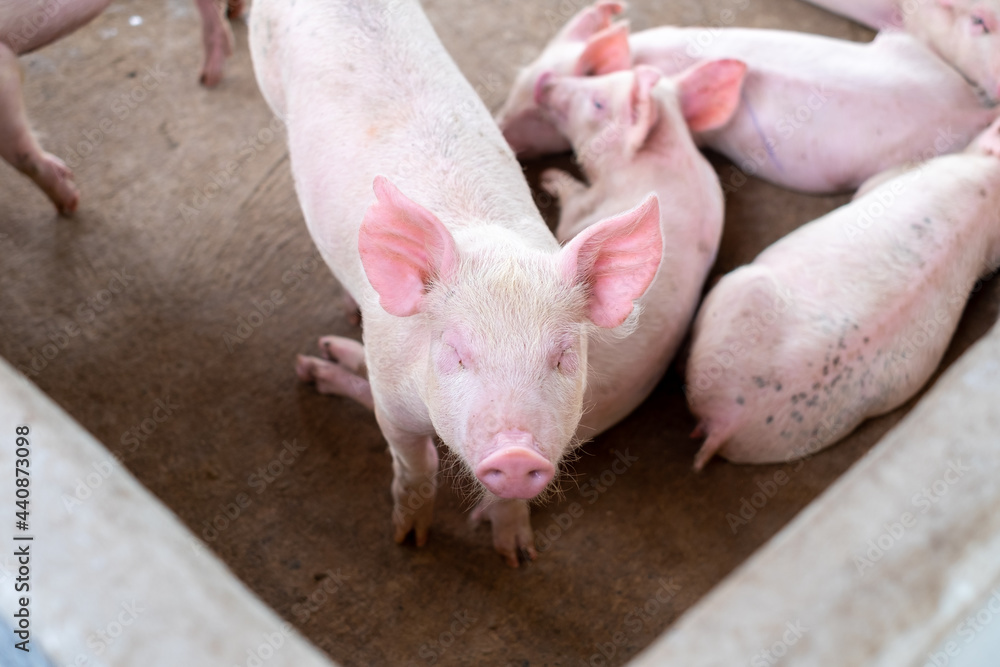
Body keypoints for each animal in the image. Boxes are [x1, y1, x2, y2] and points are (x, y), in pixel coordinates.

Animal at [250, 0, 663, 567]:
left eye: (563, 357)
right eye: (455, 352)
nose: (516, 452)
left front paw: (517, 558)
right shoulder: (393, 406)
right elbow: (415, 462)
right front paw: (408, 540)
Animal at [684, 116, 1000, 469]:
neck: (992, 183)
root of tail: (728, 418)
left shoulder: (898, 178)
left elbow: (870, 185)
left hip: (740, 290)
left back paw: (716, 278)